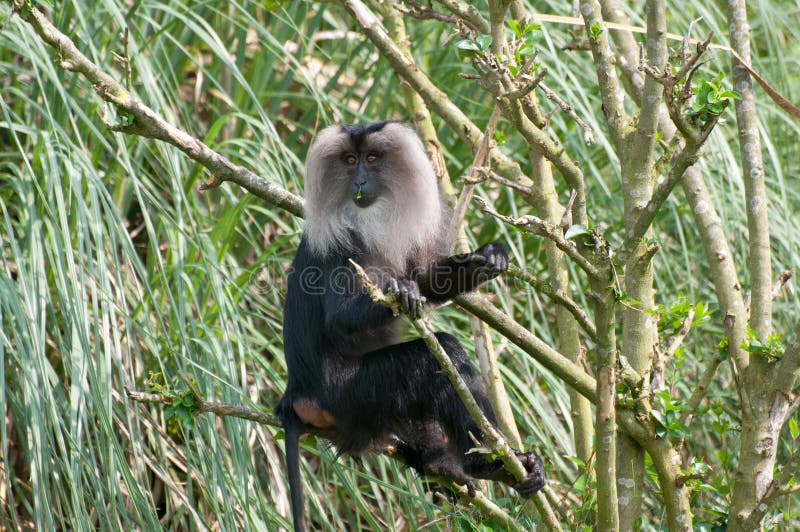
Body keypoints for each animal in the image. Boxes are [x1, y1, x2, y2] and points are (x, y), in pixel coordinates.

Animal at [275, 121, 545, 531]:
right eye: (349, 160)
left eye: (371, 158)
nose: (360, 180)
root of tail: (297, 395)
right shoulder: (341, 244)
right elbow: (341, 316)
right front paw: (398, 290)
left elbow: (427, 277)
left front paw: (487, 258)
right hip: (350, 392)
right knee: (440, 358)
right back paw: (488, 463)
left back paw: (446, 465)